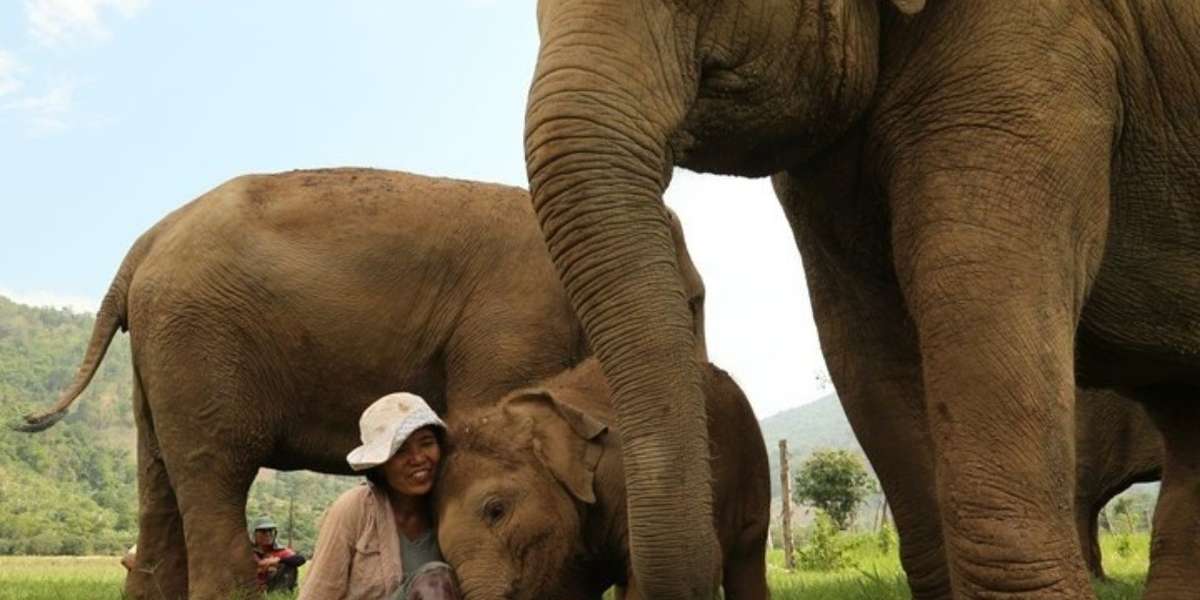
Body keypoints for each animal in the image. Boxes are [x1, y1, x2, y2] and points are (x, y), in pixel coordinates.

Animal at [15, 168, 707, 600]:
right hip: (202, 342)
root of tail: (145, 243)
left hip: (164, 351)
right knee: (216, 474)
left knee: (158, 482)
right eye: (694, 304)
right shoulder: (514, 322)